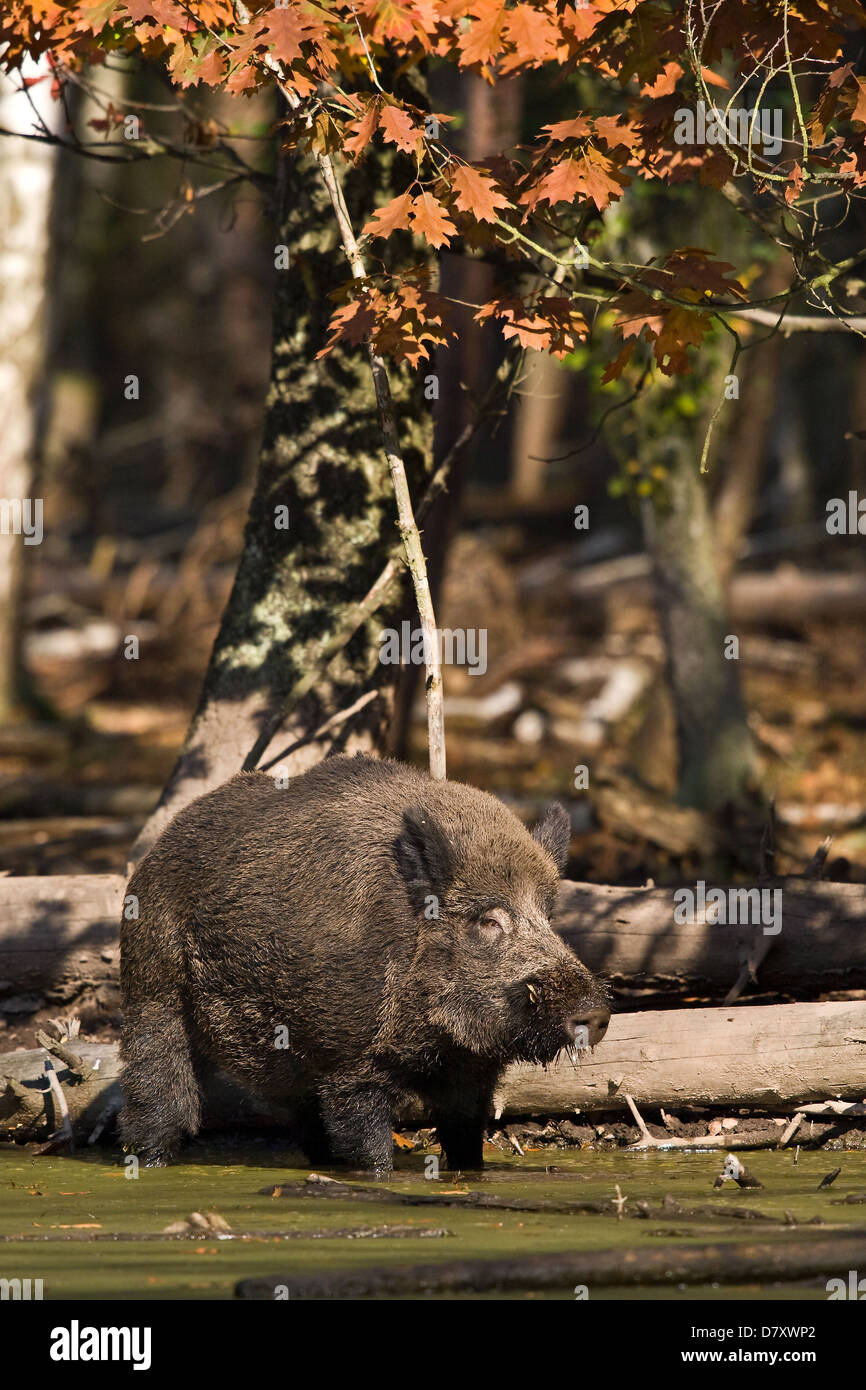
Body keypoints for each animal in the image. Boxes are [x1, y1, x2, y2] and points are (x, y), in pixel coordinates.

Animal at [119, 754, 609, 1172]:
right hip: (153, 991)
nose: (595, 1012)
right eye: (488, 920)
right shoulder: (351, 1062)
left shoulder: (471, 1072)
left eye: (548, 914)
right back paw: (149, 1160)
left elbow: (466, 1141)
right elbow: (367, 1143)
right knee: (158, 1091)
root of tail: (159, 845)